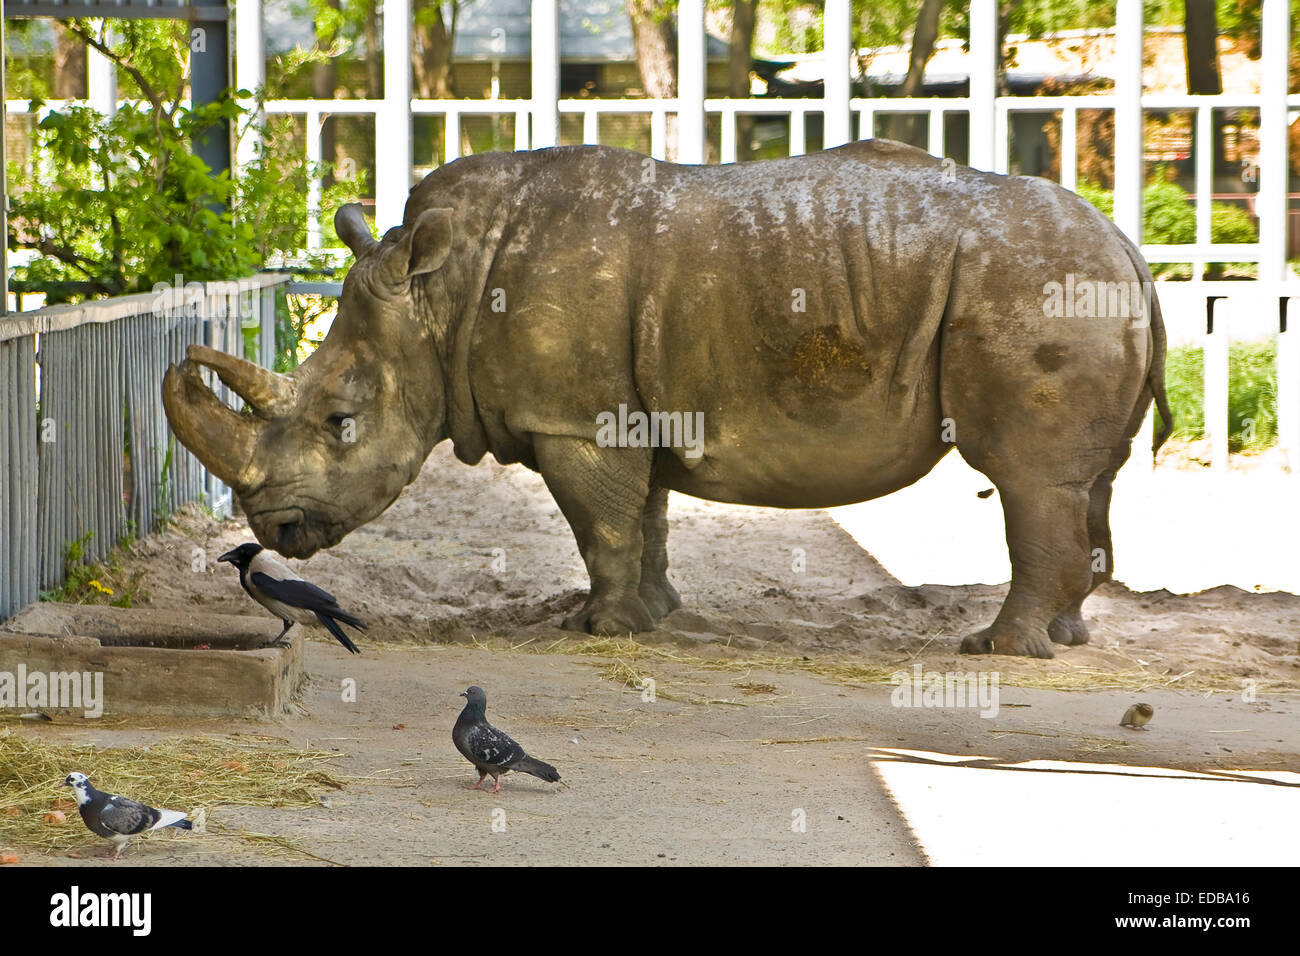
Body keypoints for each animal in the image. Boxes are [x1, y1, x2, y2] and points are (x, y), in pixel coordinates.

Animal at [163, 141, 1170, 658]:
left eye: (341, 424)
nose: (274, 530)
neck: (439, 301)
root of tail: (1128, 245)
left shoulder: (576, 418)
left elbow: (599, 523)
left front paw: (598, 629)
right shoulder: (626, 407)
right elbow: (640, 516)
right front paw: (656, 616)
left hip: (1037, 287)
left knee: (1027, 477)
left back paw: (999, 651)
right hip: (1072, 287)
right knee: (1089, 481)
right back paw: (1068, 635)